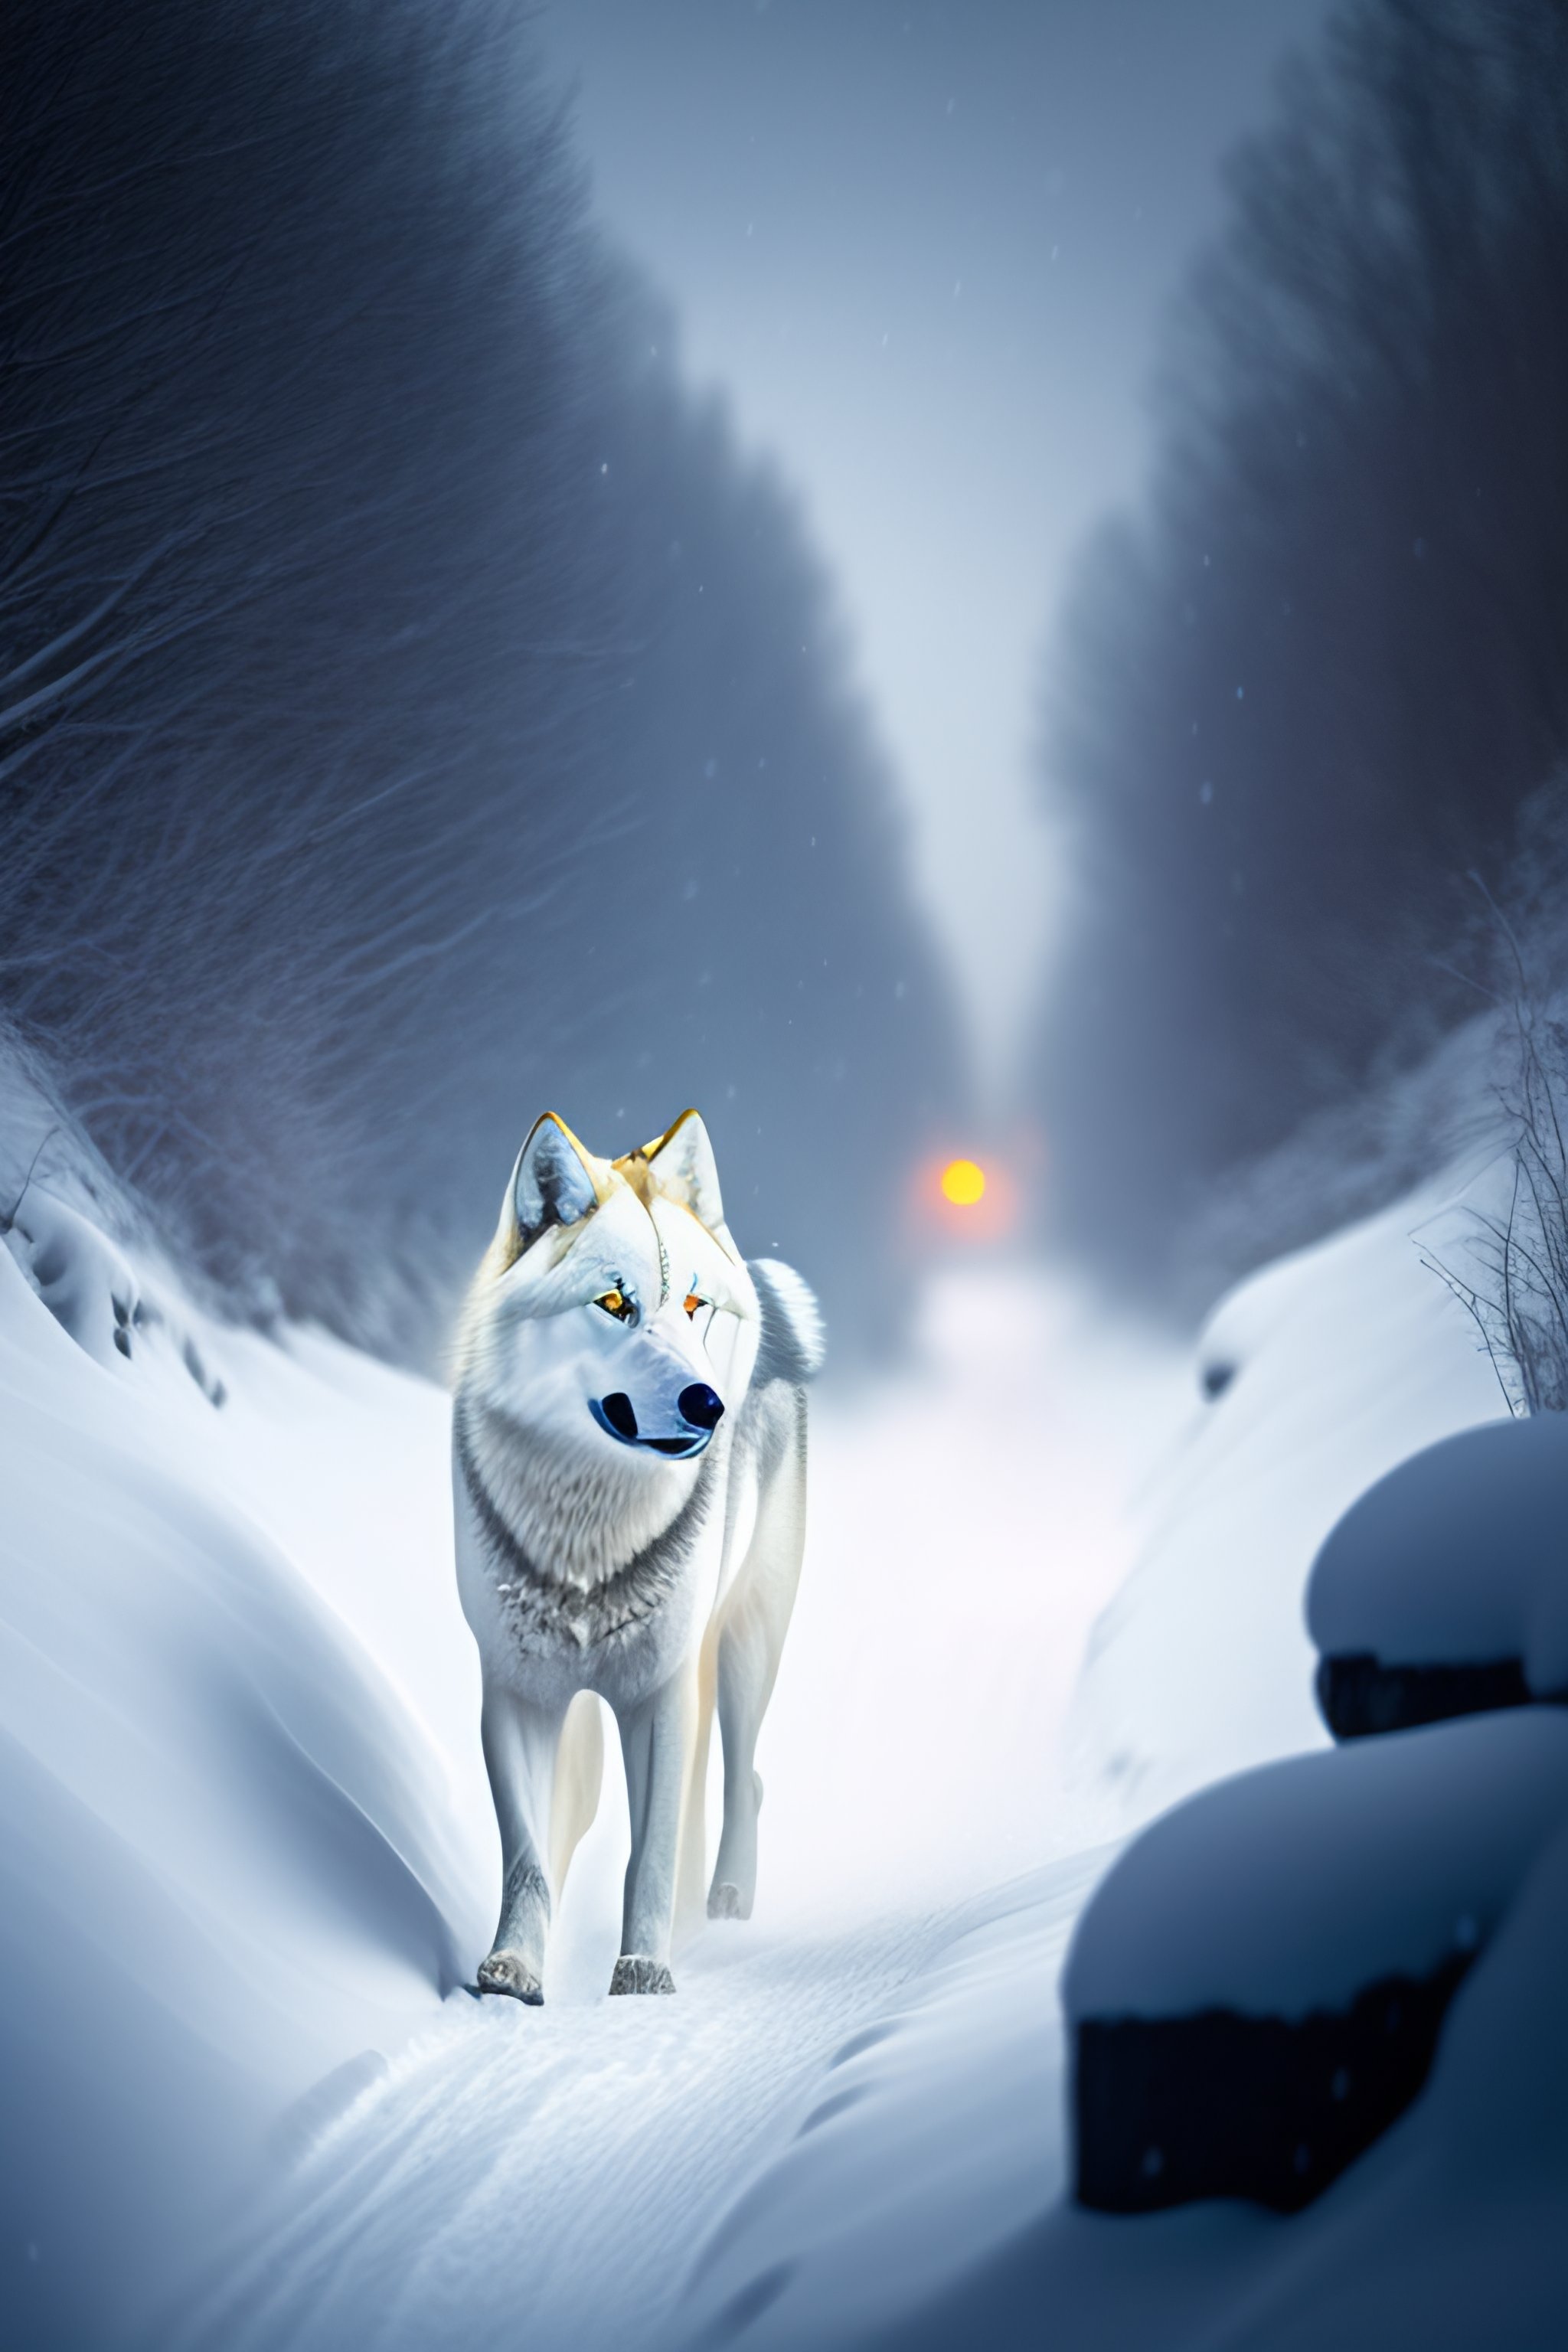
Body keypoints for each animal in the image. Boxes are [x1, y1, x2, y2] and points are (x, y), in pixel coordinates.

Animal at [451, 1108, 822, 2000]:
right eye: (615, 1301)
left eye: (692, 1304)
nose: (709, 1404)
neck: (589, 1536)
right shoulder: (515, 1693)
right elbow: (527, 1852)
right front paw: (514, 1968)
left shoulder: (660, 1694)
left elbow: (649, 1852)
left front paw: (644, 1972)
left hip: (744, 1648)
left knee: (743, 1779)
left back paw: (722, 1901)